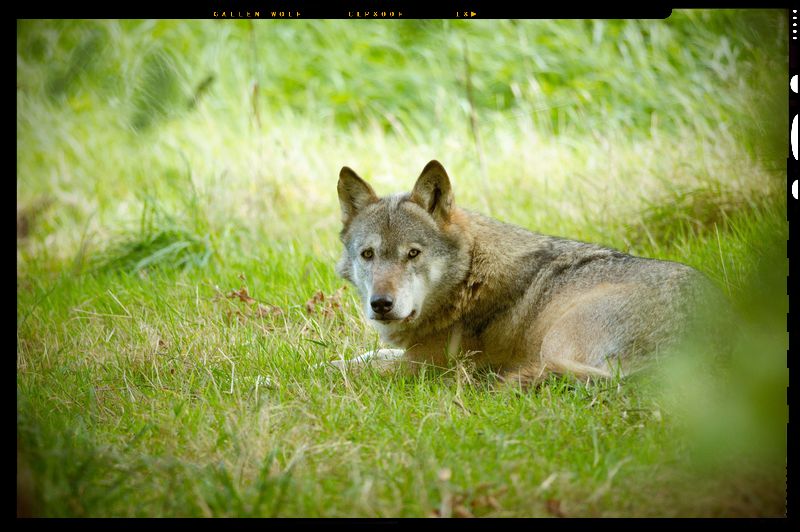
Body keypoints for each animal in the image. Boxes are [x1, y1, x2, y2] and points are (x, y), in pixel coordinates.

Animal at [328, 160, 732, 385]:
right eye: (368, 255)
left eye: (413, 254)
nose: (381, 304)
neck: (469, 278)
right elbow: (361, 356)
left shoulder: (426, 364)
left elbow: (350, 370)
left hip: (558, 339)